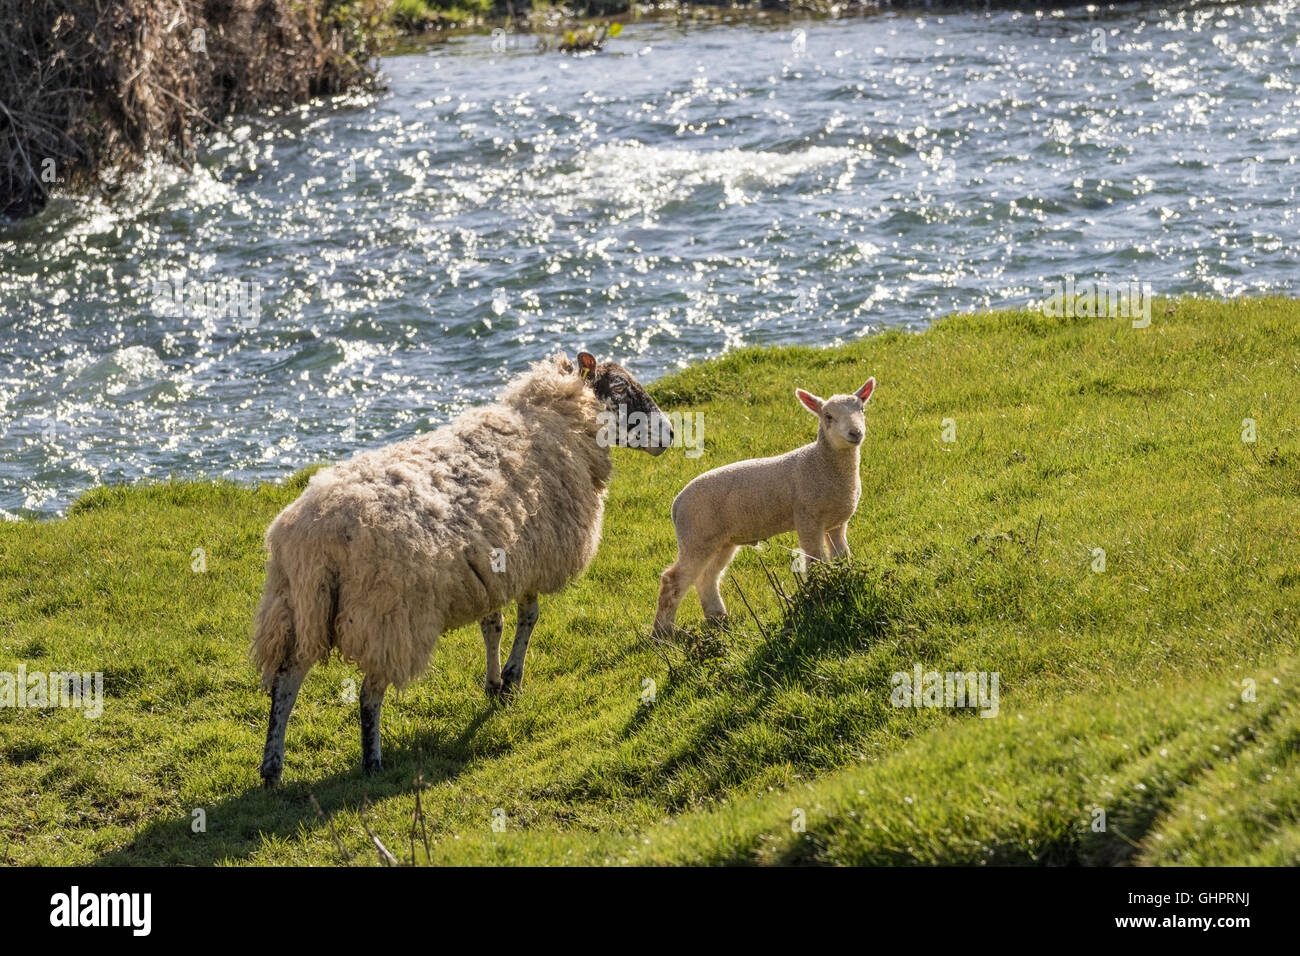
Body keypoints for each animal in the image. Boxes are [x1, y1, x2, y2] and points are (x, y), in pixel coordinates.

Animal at [252, 350, 673, 786]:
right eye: (620, 386)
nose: (672, 434)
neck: (560, 420)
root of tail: (319, 533)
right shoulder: (531, 559)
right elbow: (529, 618)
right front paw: (512, 680)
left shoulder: (494, 565)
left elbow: (493, 625)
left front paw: (493, 682)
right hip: (387, 615)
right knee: (369, 693)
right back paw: (372, 762)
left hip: (299, 608)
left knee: (285, 681)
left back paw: (272, 770)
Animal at [653, 376, 875, 636]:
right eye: (828, 416)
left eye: (862, 410)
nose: (855, 433)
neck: (822, 463)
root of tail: (676, 504)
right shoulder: (807, 517)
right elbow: (815, 561)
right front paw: (821, 592)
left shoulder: (837, 522)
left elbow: (842, 557)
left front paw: (844, 580)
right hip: (696, 536)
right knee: (672, 580)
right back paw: (662, 634)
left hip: (720, 540)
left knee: (707, 577)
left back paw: (718, 619)